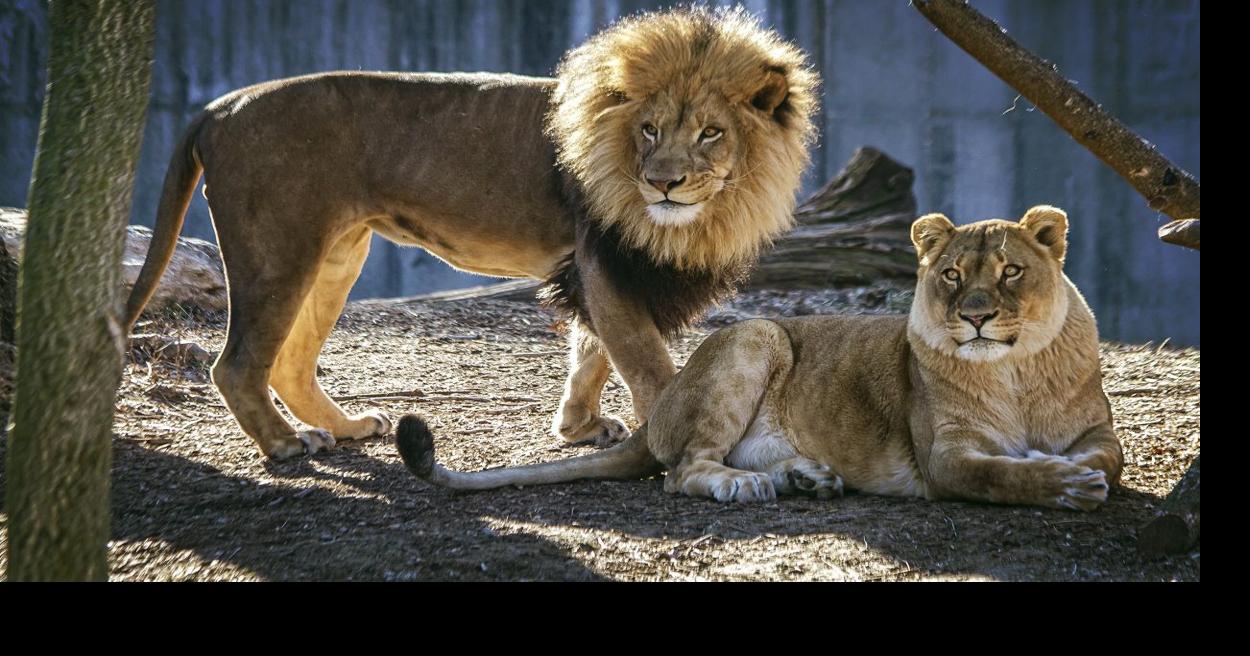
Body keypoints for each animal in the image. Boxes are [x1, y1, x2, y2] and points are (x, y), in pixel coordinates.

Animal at [124, 8, 819, 459]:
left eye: (711, 132)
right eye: (649, 129)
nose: (663, 183)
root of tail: (220, 105)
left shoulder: (597, 268)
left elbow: (592, 353)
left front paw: (578, 429)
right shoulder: (605, 259)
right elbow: (645, 361)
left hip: (337, 254)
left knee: (292, 361)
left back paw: (346, 427)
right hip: (278, 250)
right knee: (239, 363)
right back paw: (287, 444)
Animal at [396, 206, 1125, 512]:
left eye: (1009, 272)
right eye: (950, 275)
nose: (973, 315)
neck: (1015, 371)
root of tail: (658, 413)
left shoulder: (1099, 430)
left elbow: (1105, 458)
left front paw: (1071, 470)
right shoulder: (946, 454)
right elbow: (997, 474)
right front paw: (1058, 484)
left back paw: (808, 477)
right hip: (757, 335)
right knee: (683, 471)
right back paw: (746, 485)